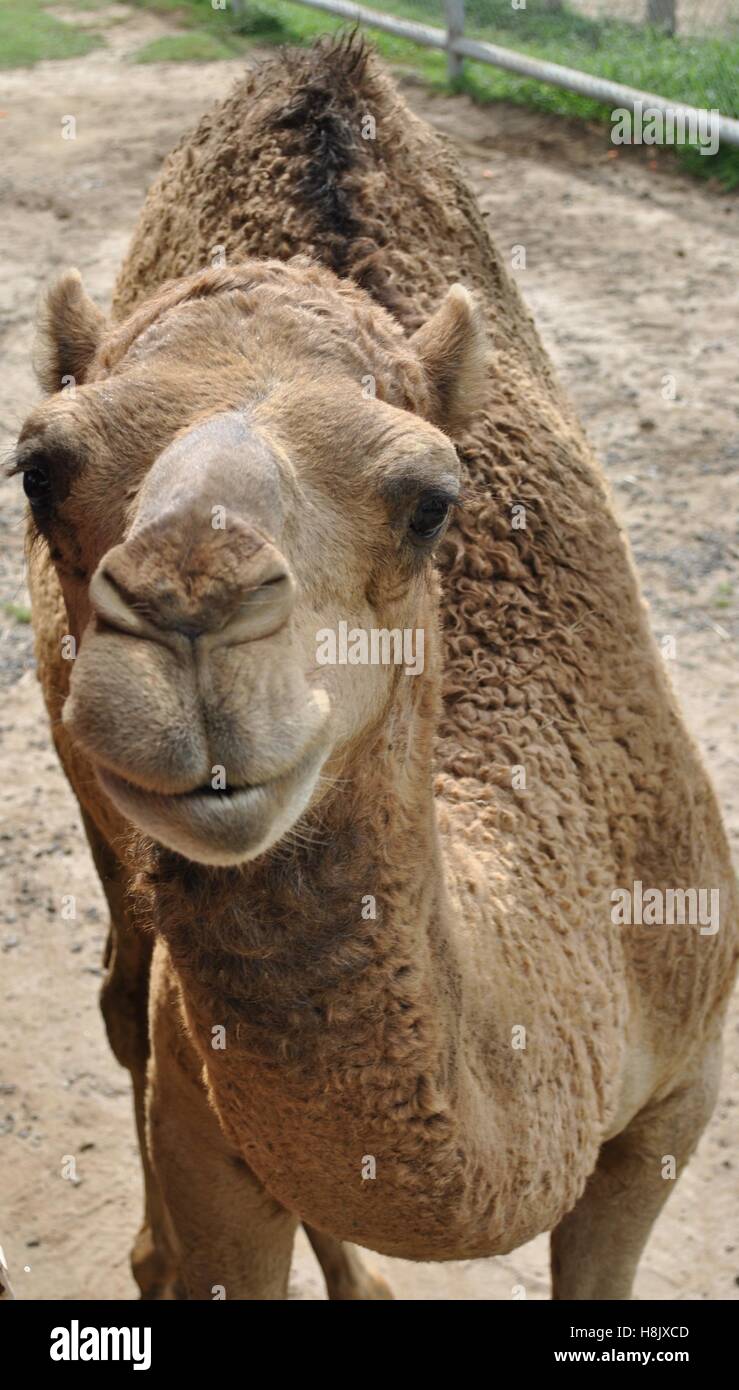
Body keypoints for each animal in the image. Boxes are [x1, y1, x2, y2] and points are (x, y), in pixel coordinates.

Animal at [18, 36, 737, 1300]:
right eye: (39, 471)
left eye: (430, 499)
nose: (189, 599)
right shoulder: (200, 1122)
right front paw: (163, 1258)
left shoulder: (677, 1096)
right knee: (116, 996)